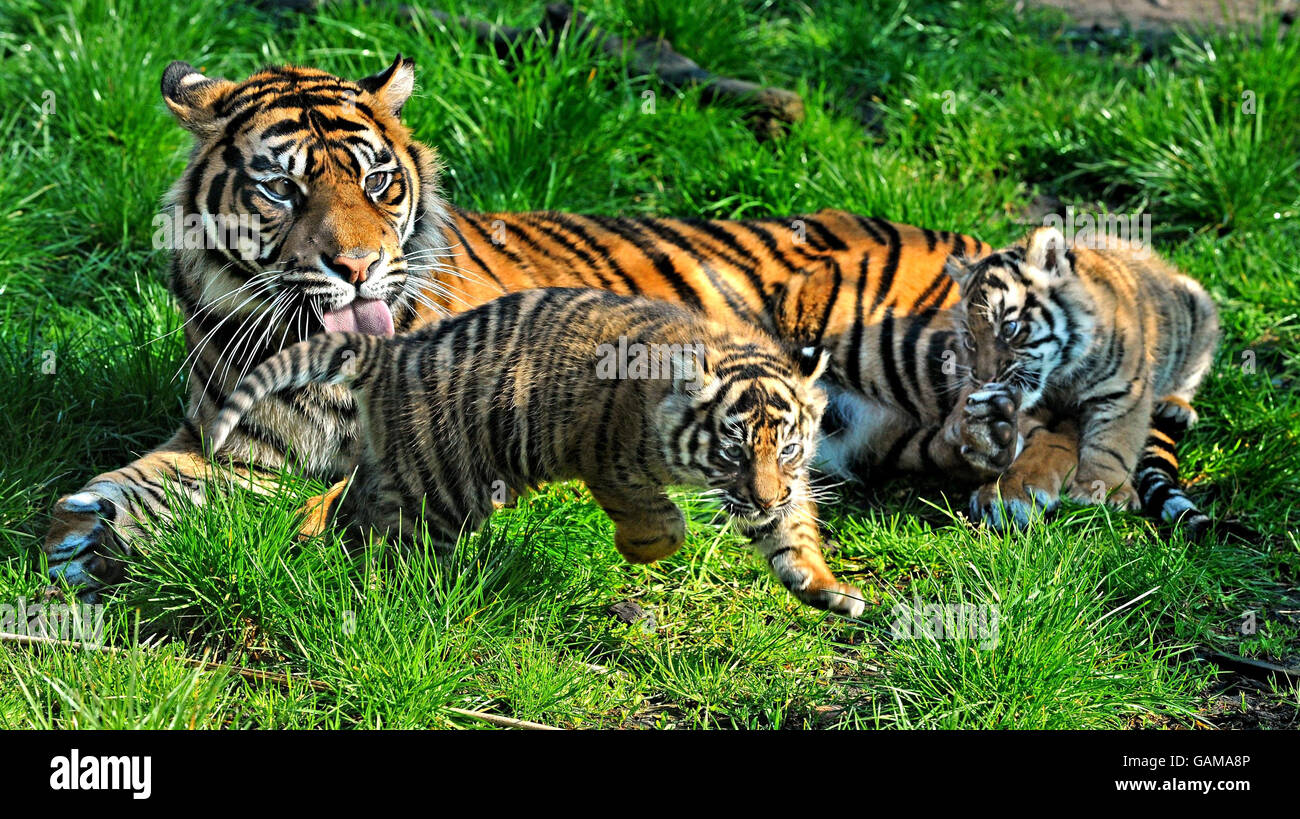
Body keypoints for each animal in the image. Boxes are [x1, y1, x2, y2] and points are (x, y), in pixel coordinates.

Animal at [202, 287, 865, 615]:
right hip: (441, 491)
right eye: (731, 452)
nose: (765, 499)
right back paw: (407, 596)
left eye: (788, 449)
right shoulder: (608, 459)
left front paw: (827, 589)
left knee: (357, 508)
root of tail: (389, 353)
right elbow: (661, 521)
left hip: (398, 468)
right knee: (396, 544)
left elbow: (794, 536)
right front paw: (642, 551)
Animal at [947, 225, 1221, 538]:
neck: (1059, 373)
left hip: (1200, 315)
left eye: (1009, 328)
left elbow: (1112, 441)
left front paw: (1102, 491)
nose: (985, 378)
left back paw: (1175, 407)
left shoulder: (1124, 390)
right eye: (970, 339)